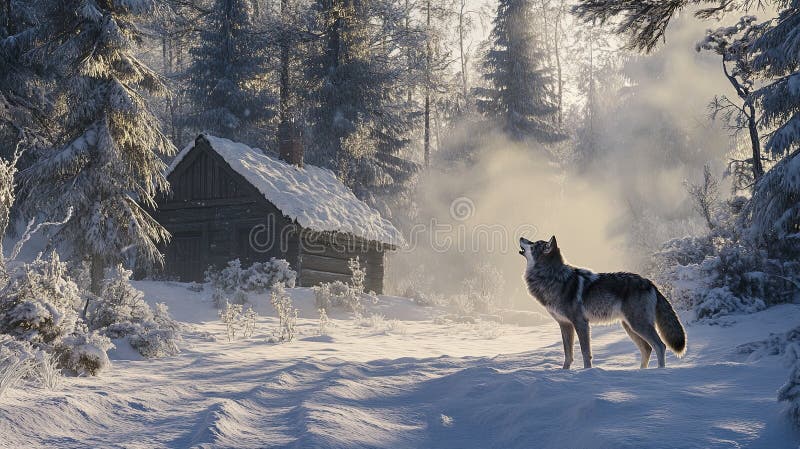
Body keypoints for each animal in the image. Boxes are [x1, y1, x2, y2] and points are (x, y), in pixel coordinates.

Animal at [519, 236, 686, 369]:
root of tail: (649, 282)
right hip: (630, 327)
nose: (521, 237)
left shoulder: (581, 323)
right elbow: (568, 355)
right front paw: (564, 373)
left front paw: (587, 372)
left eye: (533, 244)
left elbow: (585, 353)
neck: (553, 277)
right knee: (647, 349)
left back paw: (659, 372)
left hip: (638, 325)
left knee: (660, 346)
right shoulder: (564, 324)